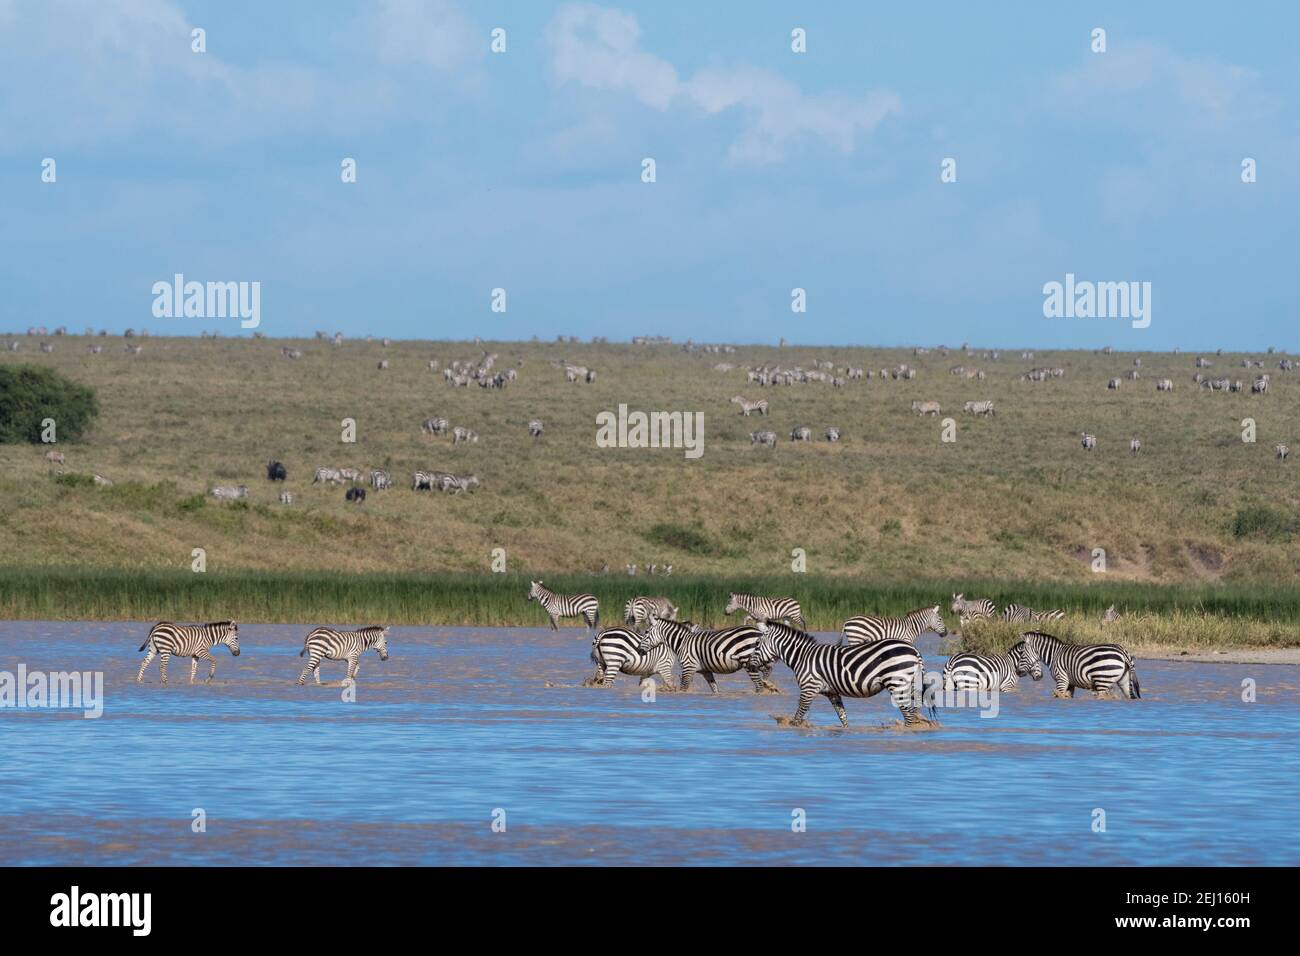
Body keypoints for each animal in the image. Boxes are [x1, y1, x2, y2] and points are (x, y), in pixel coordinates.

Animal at [637, 617, 775, 693]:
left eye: (646, 632)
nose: (638, 651)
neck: (682, 642)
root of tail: (760, 632)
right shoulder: (706, 671)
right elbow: (714, 688)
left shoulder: (688, 667)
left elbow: (683, 688)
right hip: (758, 660)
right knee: (768, 670)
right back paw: (768, 685)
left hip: (748, 662)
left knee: (758, 684)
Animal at [750, 622, 930, 726]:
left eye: (757, 643)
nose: (750, 665)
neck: (802, 656)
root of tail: (913, 650)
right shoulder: (832, 692)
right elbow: (843, 717)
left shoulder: (808, 688)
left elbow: (799, 715)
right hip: (910, 685)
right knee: (914, 712)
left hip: (897, 683)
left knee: (908, 715)